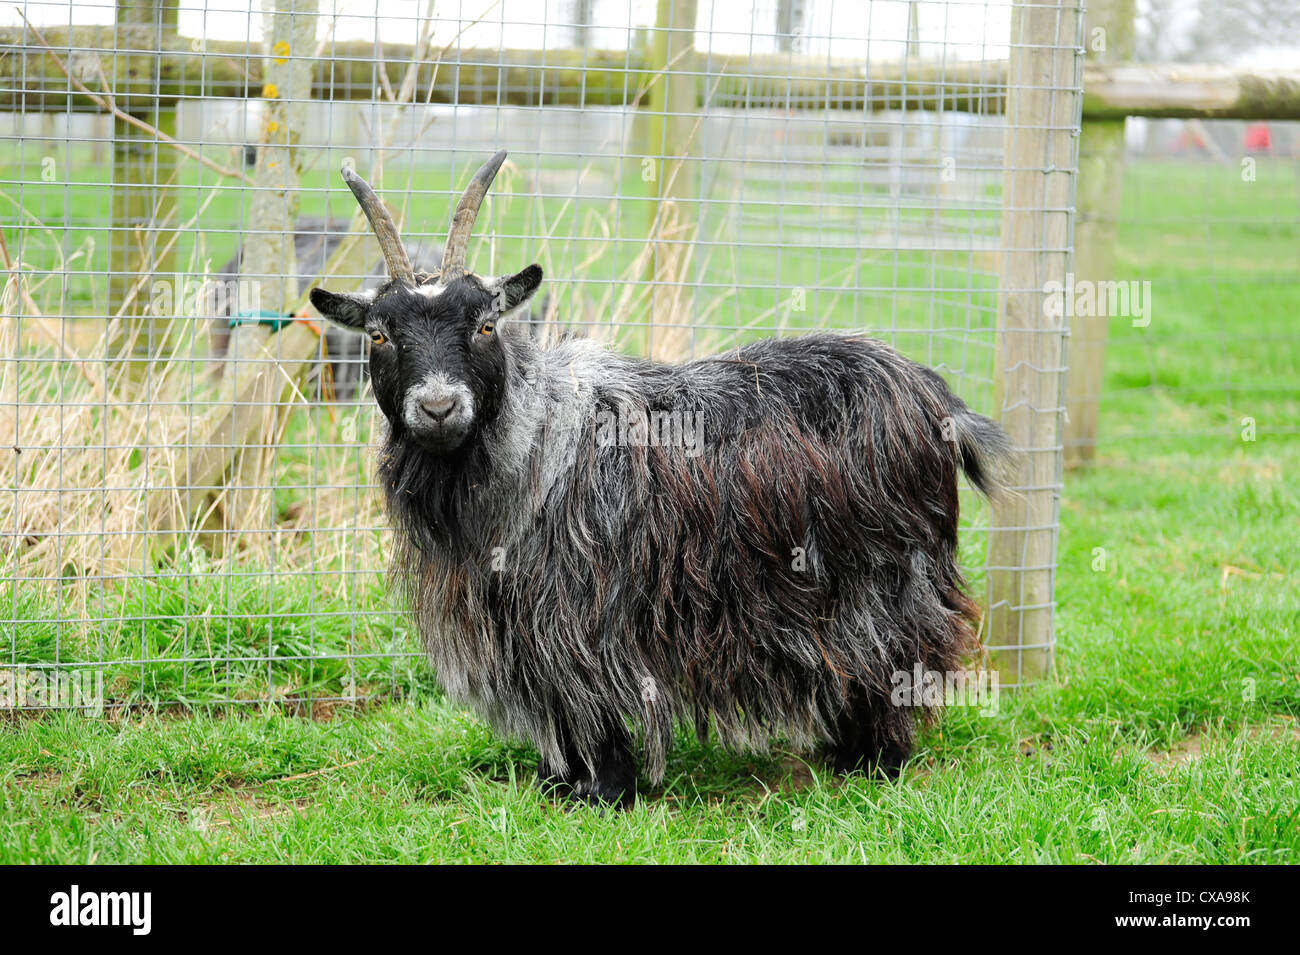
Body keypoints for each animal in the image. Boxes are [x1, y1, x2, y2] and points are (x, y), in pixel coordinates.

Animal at [310, 150, 1015, 808]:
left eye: (485, 325)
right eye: (380, 334)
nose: (438, 408)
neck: (533, 439)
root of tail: (933, 397)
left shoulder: (575, 609)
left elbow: (584, 689)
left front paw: (603, 789)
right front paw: (560, 783)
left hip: (883, 579)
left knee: (893, 657)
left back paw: (873, 762)